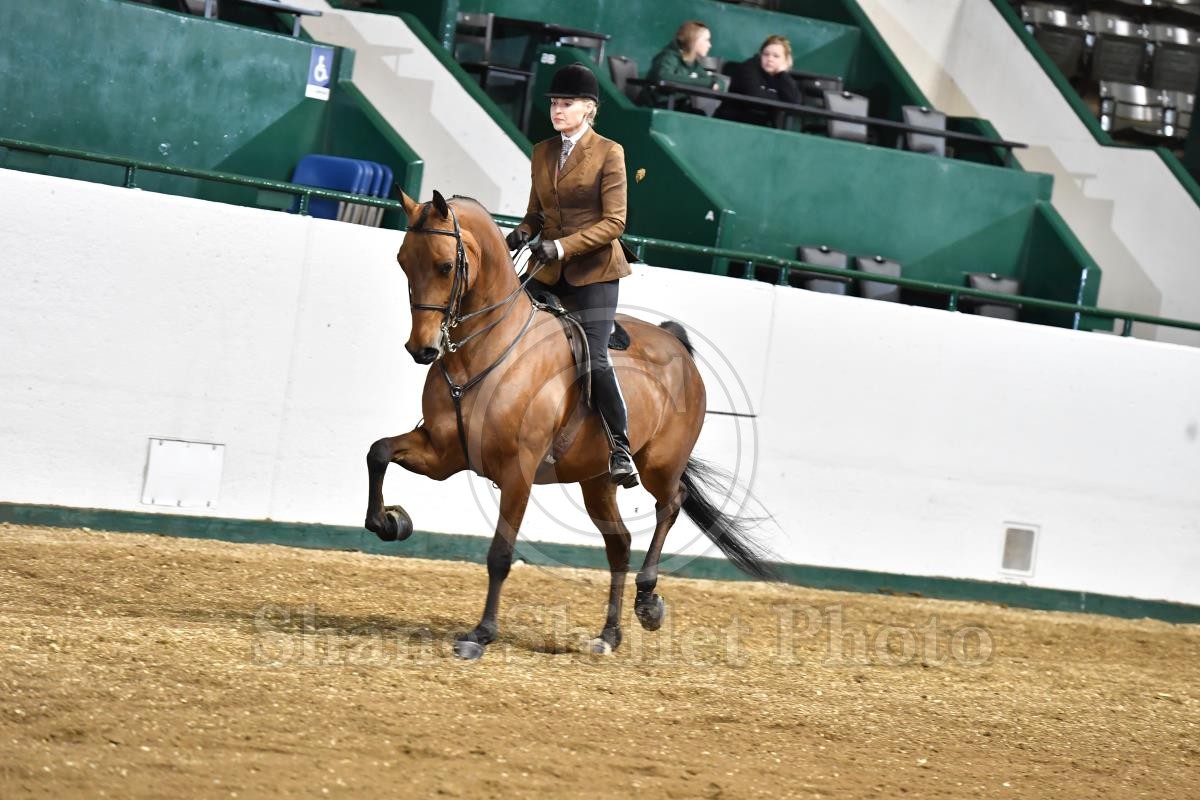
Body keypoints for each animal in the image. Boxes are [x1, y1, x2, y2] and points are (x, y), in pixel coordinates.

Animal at [364, 190, 774, 660]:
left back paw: (648, 601)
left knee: (670, 504)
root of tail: (676, 344)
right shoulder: (441, 453)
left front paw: (480, 635)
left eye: (445, 265)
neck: (487, 348)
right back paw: (609, 634)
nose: (422, 349)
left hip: (660, 464)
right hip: (596, 481)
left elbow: (500, 554)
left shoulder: (517, 472)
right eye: (403, 262)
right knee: (620, 544)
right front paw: (390, 521)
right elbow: (378, 451)